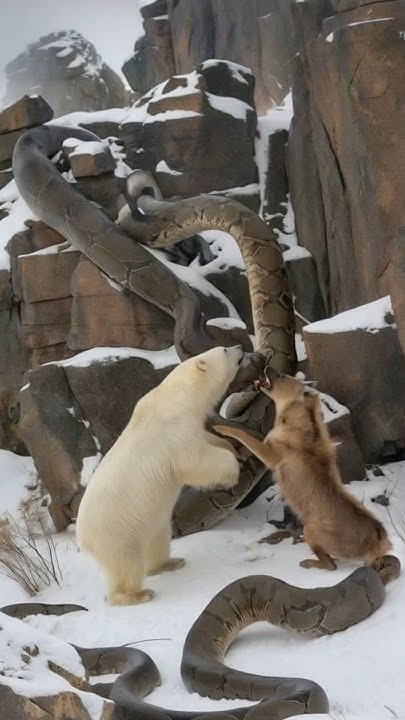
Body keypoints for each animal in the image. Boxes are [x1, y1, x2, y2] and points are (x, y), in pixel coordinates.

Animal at [75, 345, 244, 606]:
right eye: (225, 350)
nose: (241, 347)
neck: (177, 396)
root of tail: (82, 538)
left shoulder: (192, 424)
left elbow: (208, 440)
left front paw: (231, 446)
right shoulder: (174, 432)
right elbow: (194, 459)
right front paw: (233, 468)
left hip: (150, 521)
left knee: (158, 541)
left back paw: (170, 562)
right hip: (115, 531)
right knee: (126, 565)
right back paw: (137, 594)